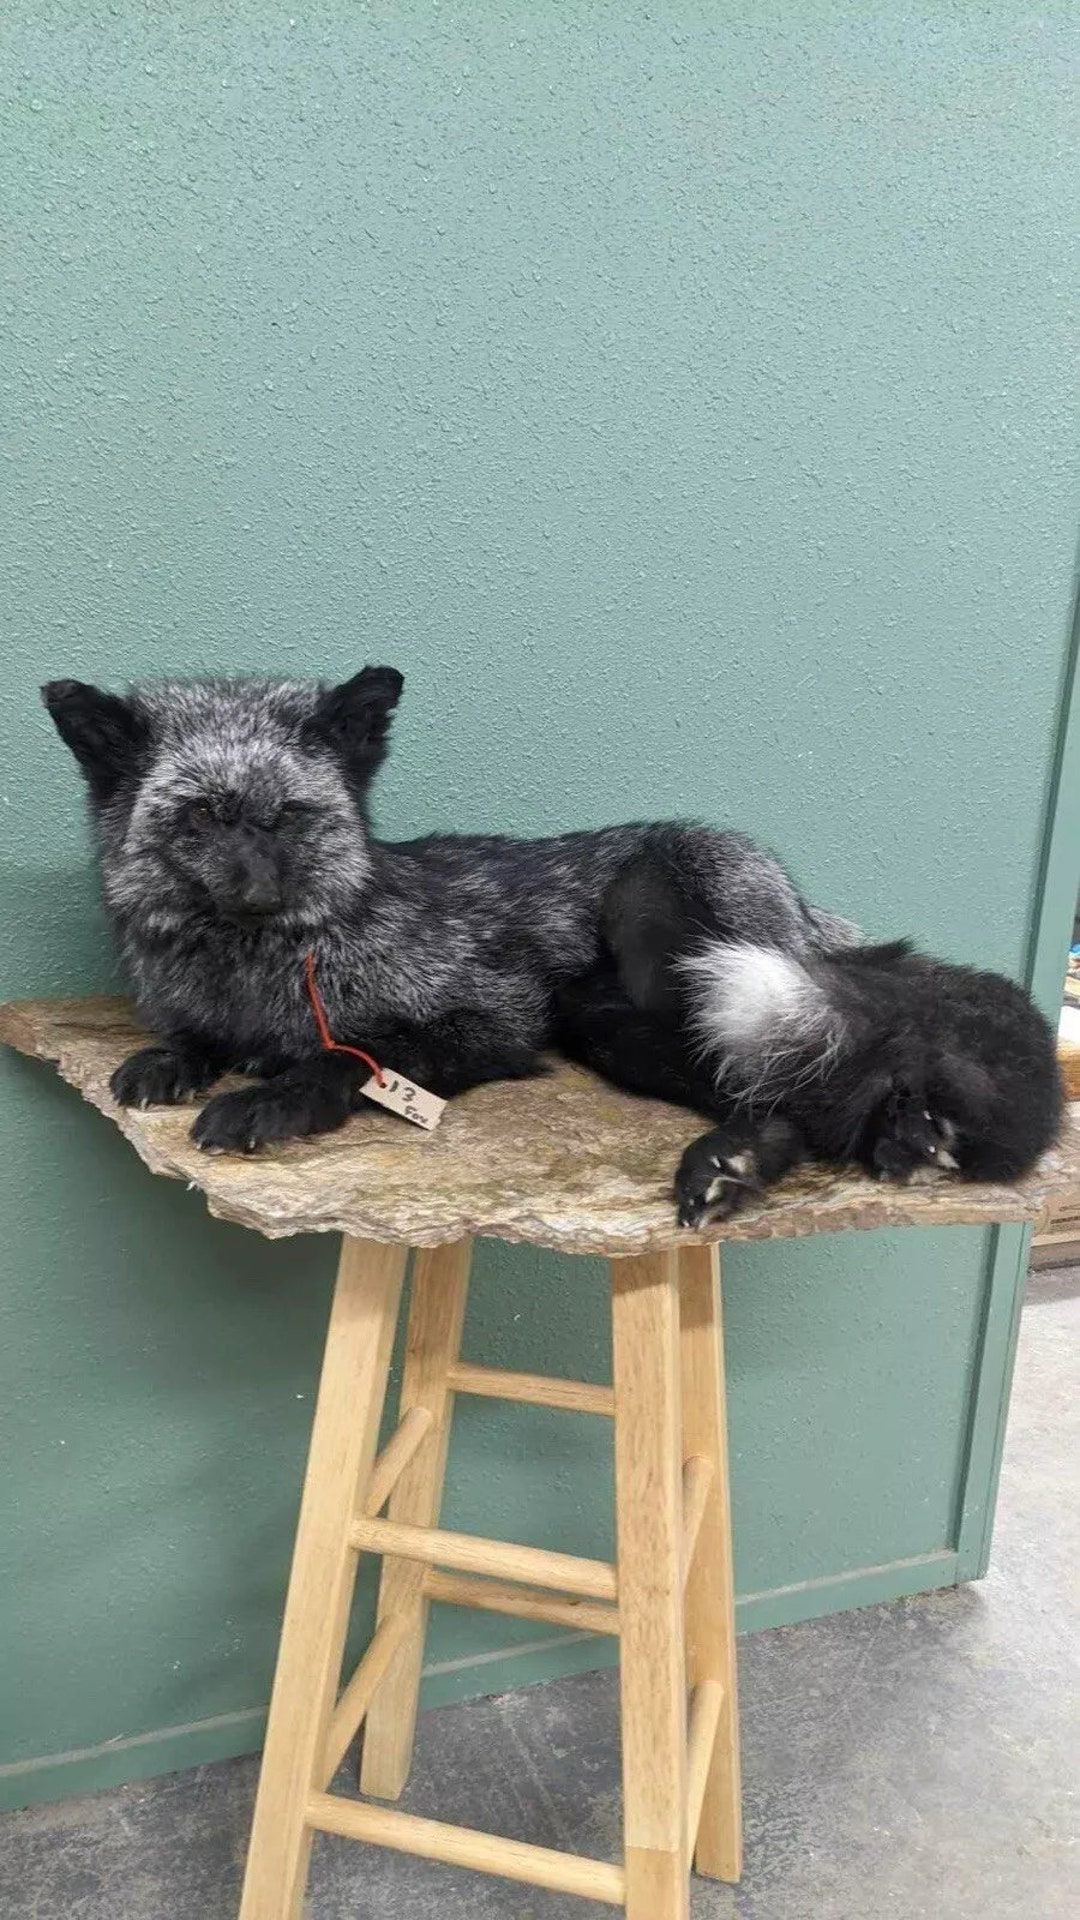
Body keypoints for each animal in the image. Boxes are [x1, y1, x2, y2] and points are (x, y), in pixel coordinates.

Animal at [41, 667, 1061, 1218]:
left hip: (676, 949)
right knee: (796, 1109)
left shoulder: (493, 1019)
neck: (259, 977)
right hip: (619, 1027)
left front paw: (270, 1098)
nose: (258, 890)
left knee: (799, 1083)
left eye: (287, 816)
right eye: (204, 817)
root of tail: (813, 915)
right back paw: (757, 1164)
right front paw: (173, 1060)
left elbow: (350, 1055)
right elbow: (187, 1039)